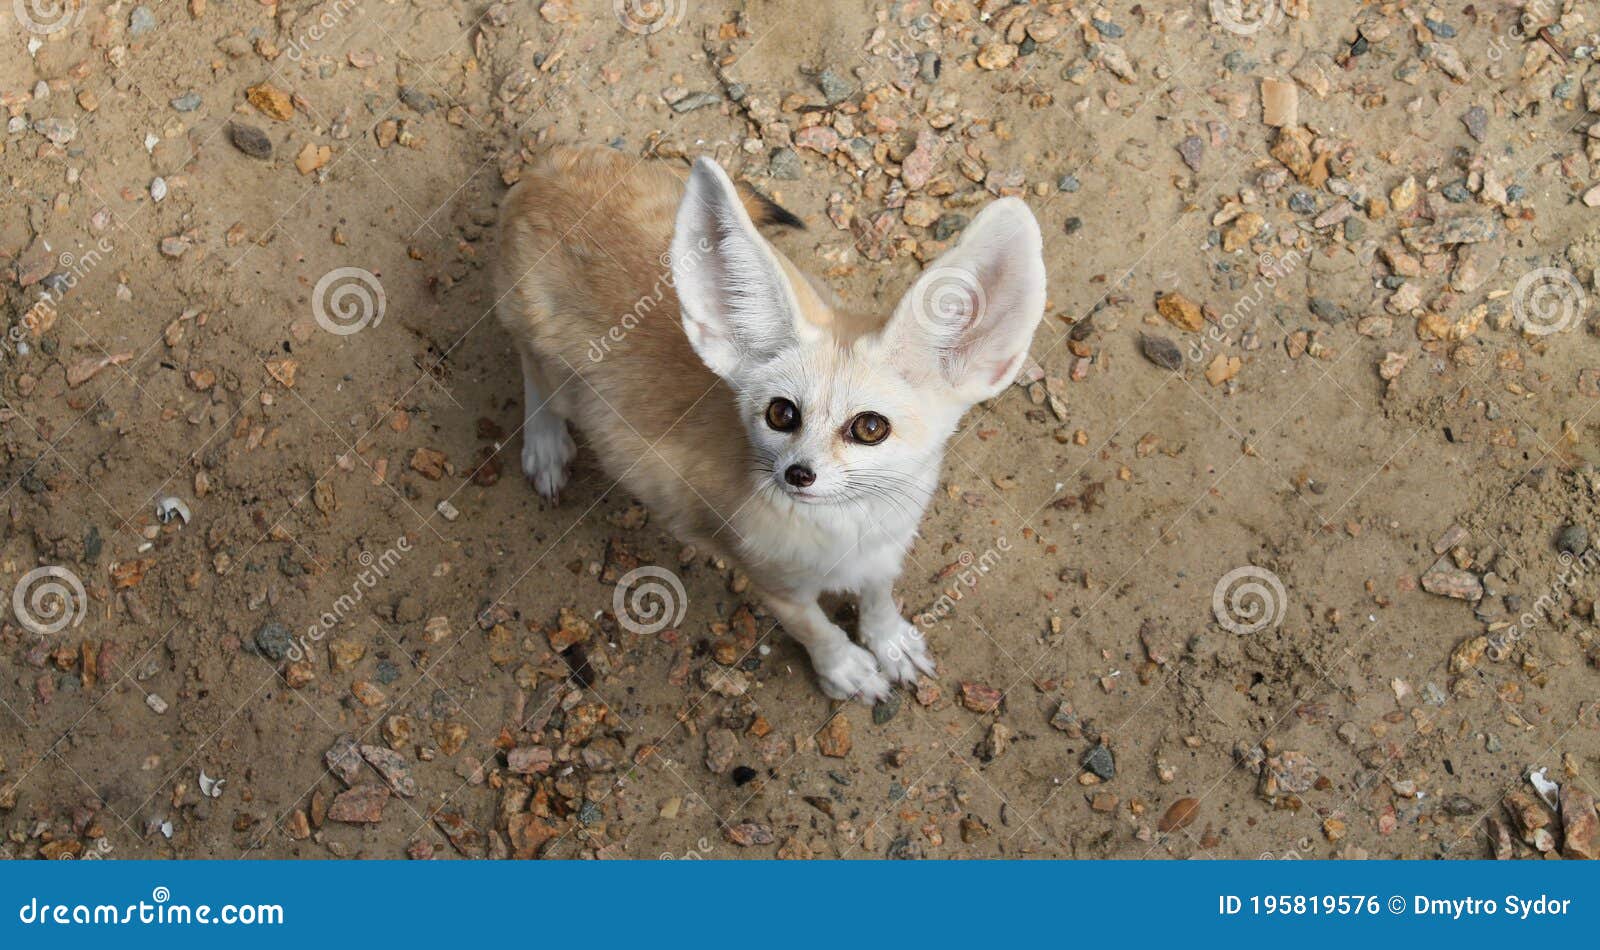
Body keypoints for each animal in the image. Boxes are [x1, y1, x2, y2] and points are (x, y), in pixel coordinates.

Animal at [494, 145, 1046, 703]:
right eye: (782, 414)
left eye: (869, 428)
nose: (797, 475)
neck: (849, 532)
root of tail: (556, 161)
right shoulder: (771, 582)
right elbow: (815, 629)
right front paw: (846, 667)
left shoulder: (886, 552)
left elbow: (879, 598)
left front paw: (889, 643)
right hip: (551, 365)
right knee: (531, 371)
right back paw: (544, 444)